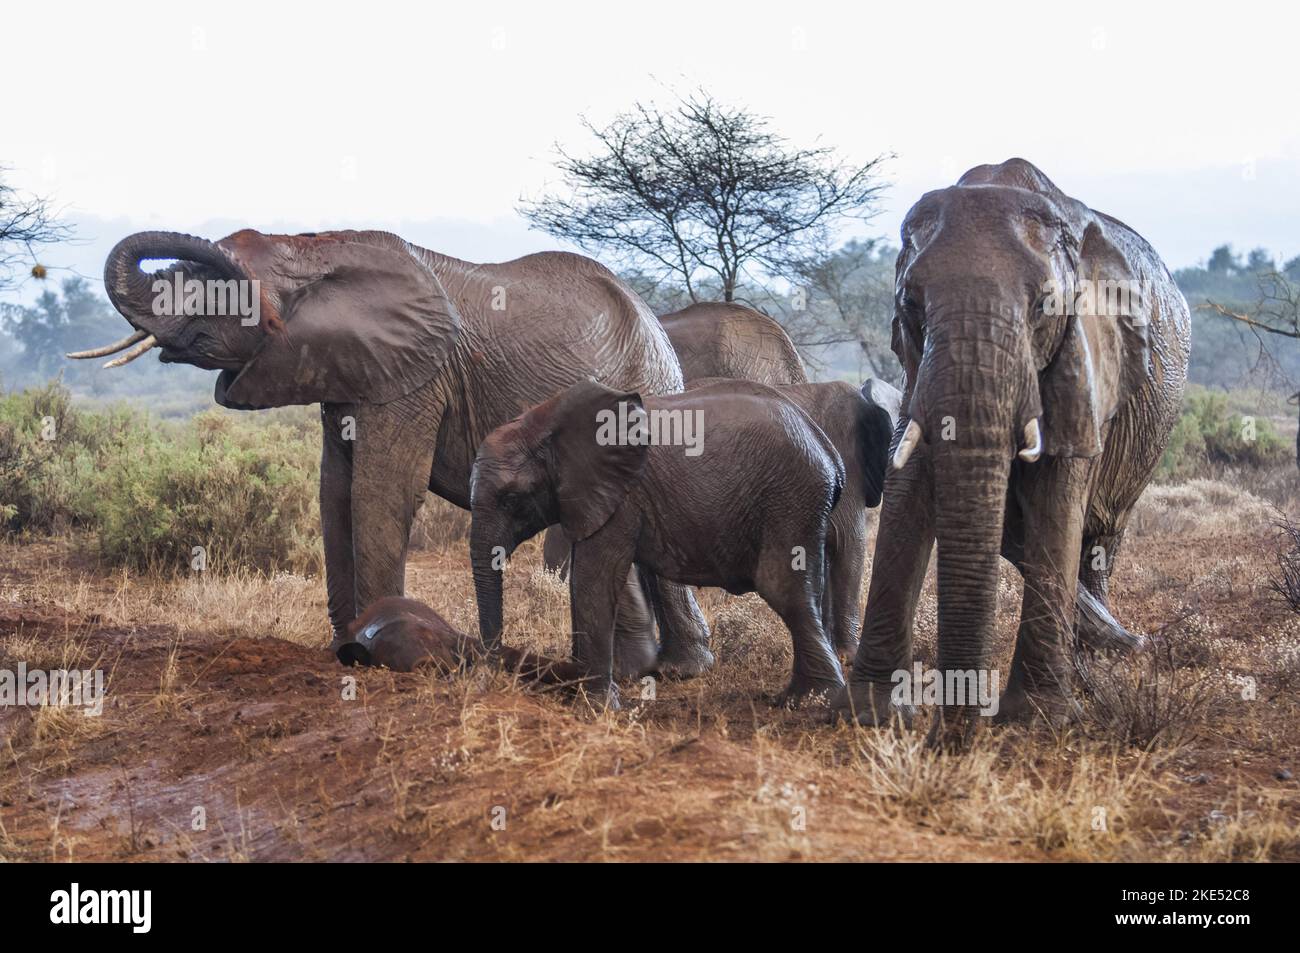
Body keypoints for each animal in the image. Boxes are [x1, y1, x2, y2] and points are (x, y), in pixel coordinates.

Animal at [79, 229, 712, 674]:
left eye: (220, 291)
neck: (311, 247)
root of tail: (653, 322)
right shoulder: (347, 372)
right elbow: (334, 494)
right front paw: (341, 646)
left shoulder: (414, 379)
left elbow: (380, 492)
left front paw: (372, 650)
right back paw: (664, 667)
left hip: (651, 389)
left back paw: (673, 671)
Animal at [470, 378, 846, 709]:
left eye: (511, 499)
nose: (493, 669)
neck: (543, 420)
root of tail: (827, 448)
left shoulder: (622, 497)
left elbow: (594, 579)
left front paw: (596, 707)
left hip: (791, 500)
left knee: (784, 589)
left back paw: (808, 701)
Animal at [830, 158, 1191, 745]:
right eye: (909, 304)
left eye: (1045, 305)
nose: (953, 733)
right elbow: (911, 485)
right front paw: (869, 715)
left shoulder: (1087, 361)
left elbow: (1056, 497)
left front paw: (1039, 720)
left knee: (1100, 539)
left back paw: (1095, 659)